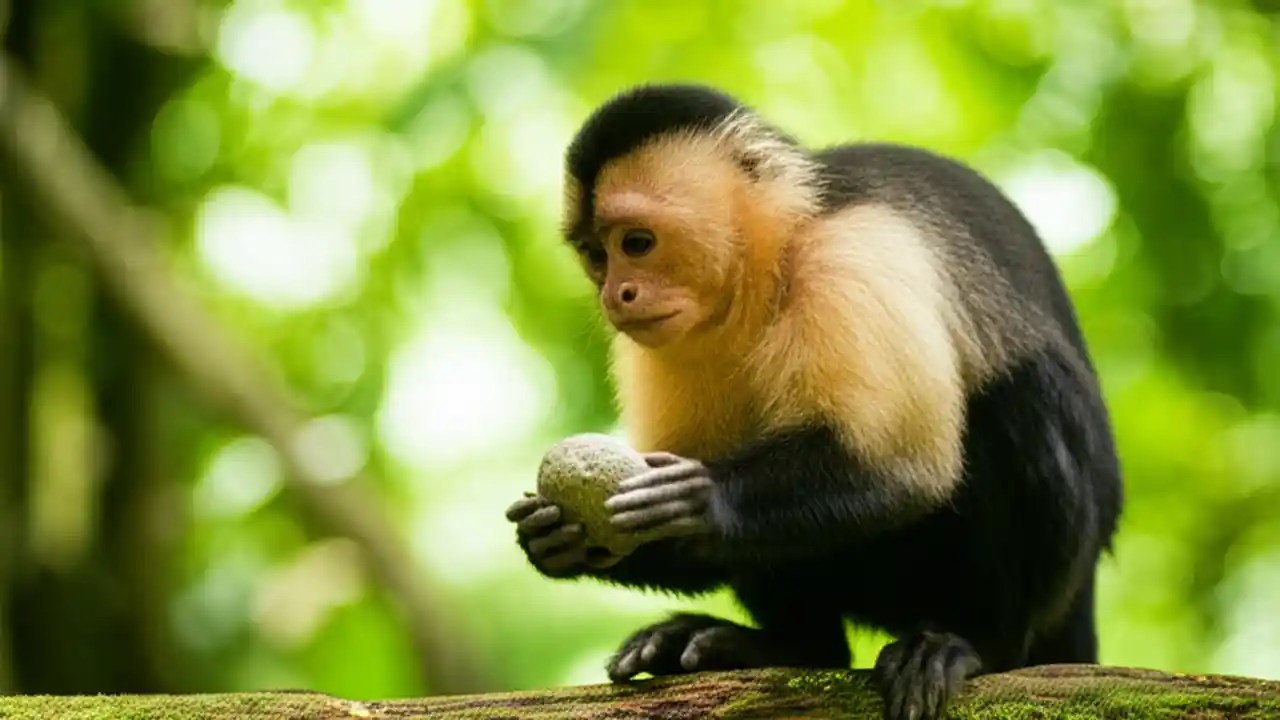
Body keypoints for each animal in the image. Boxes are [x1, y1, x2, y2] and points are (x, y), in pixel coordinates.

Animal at [505, 83, 1123, 720]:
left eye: (637, 244)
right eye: (595, 255)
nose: (616, 295)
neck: (767, 265)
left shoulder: (853, 256)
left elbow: (904, 471)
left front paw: (703, 499)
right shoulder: (656, 343)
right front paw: (559, 537)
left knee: (1022, 392)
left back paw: (974, 644)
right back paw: (786, 647)